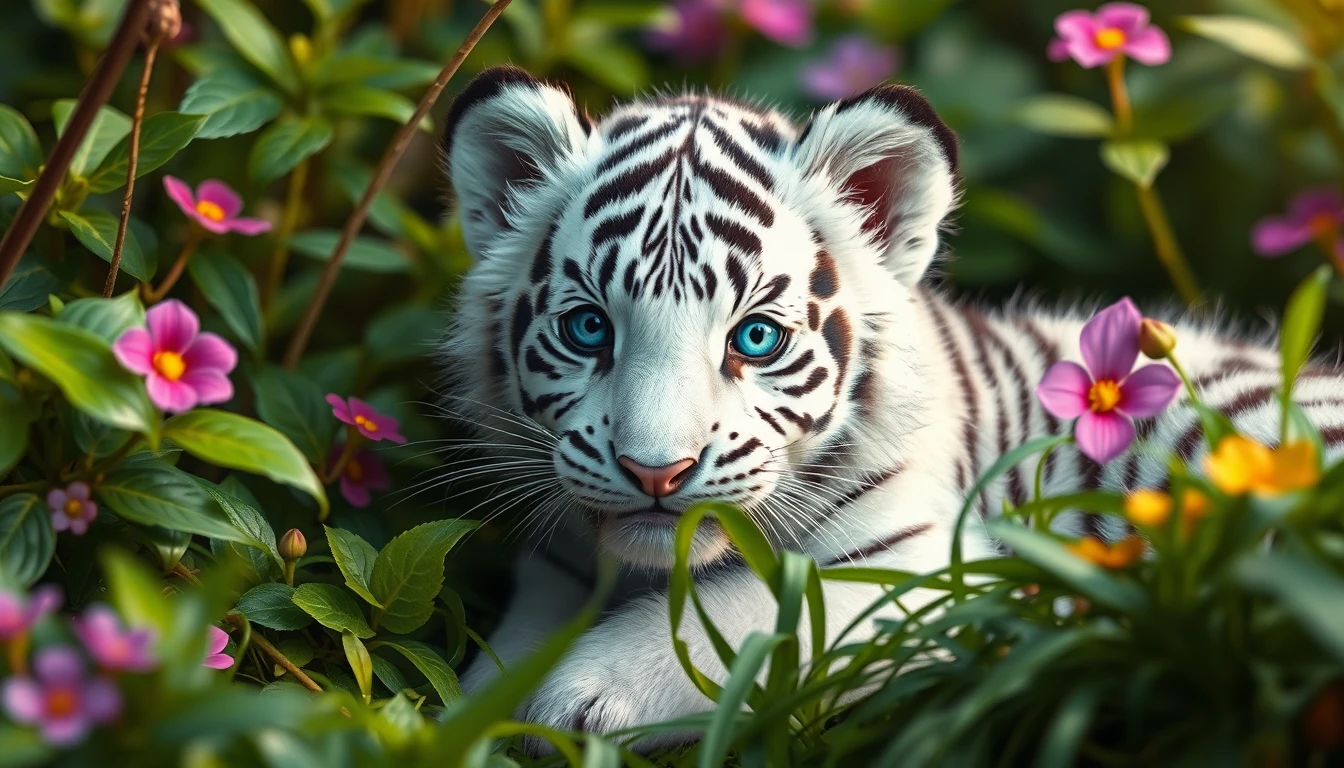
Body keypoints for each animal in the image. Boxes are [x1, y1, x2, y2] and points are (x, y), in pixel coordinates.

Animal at [437, 65, 1344, 745]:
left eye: (755, 338)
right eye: (589, 328)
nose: (655, 472)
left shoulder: (924, 568)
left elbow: (739, 621)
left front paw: (572, 697)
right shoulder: (555, 562)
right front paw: (482, 707)